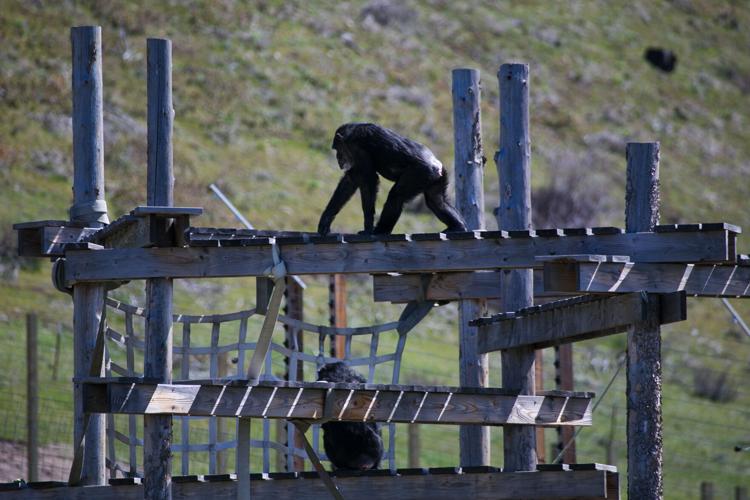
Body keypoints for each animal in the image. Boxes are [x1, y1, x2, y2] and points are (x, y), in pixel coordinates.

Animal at [317, 123, 468, 235]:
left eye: (337, 150)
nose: (338, 158)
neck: (350, 135)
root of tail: (437, 165)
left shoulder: (358, 148)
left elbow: (368, 180)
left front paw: (368, 228)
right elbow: (350, 180)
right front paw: (325, 220)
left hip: (420, 173)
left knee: (396, 196)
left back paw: (380, 231)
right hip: (436, 179)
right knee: (436, 200)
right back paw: (457, 227)